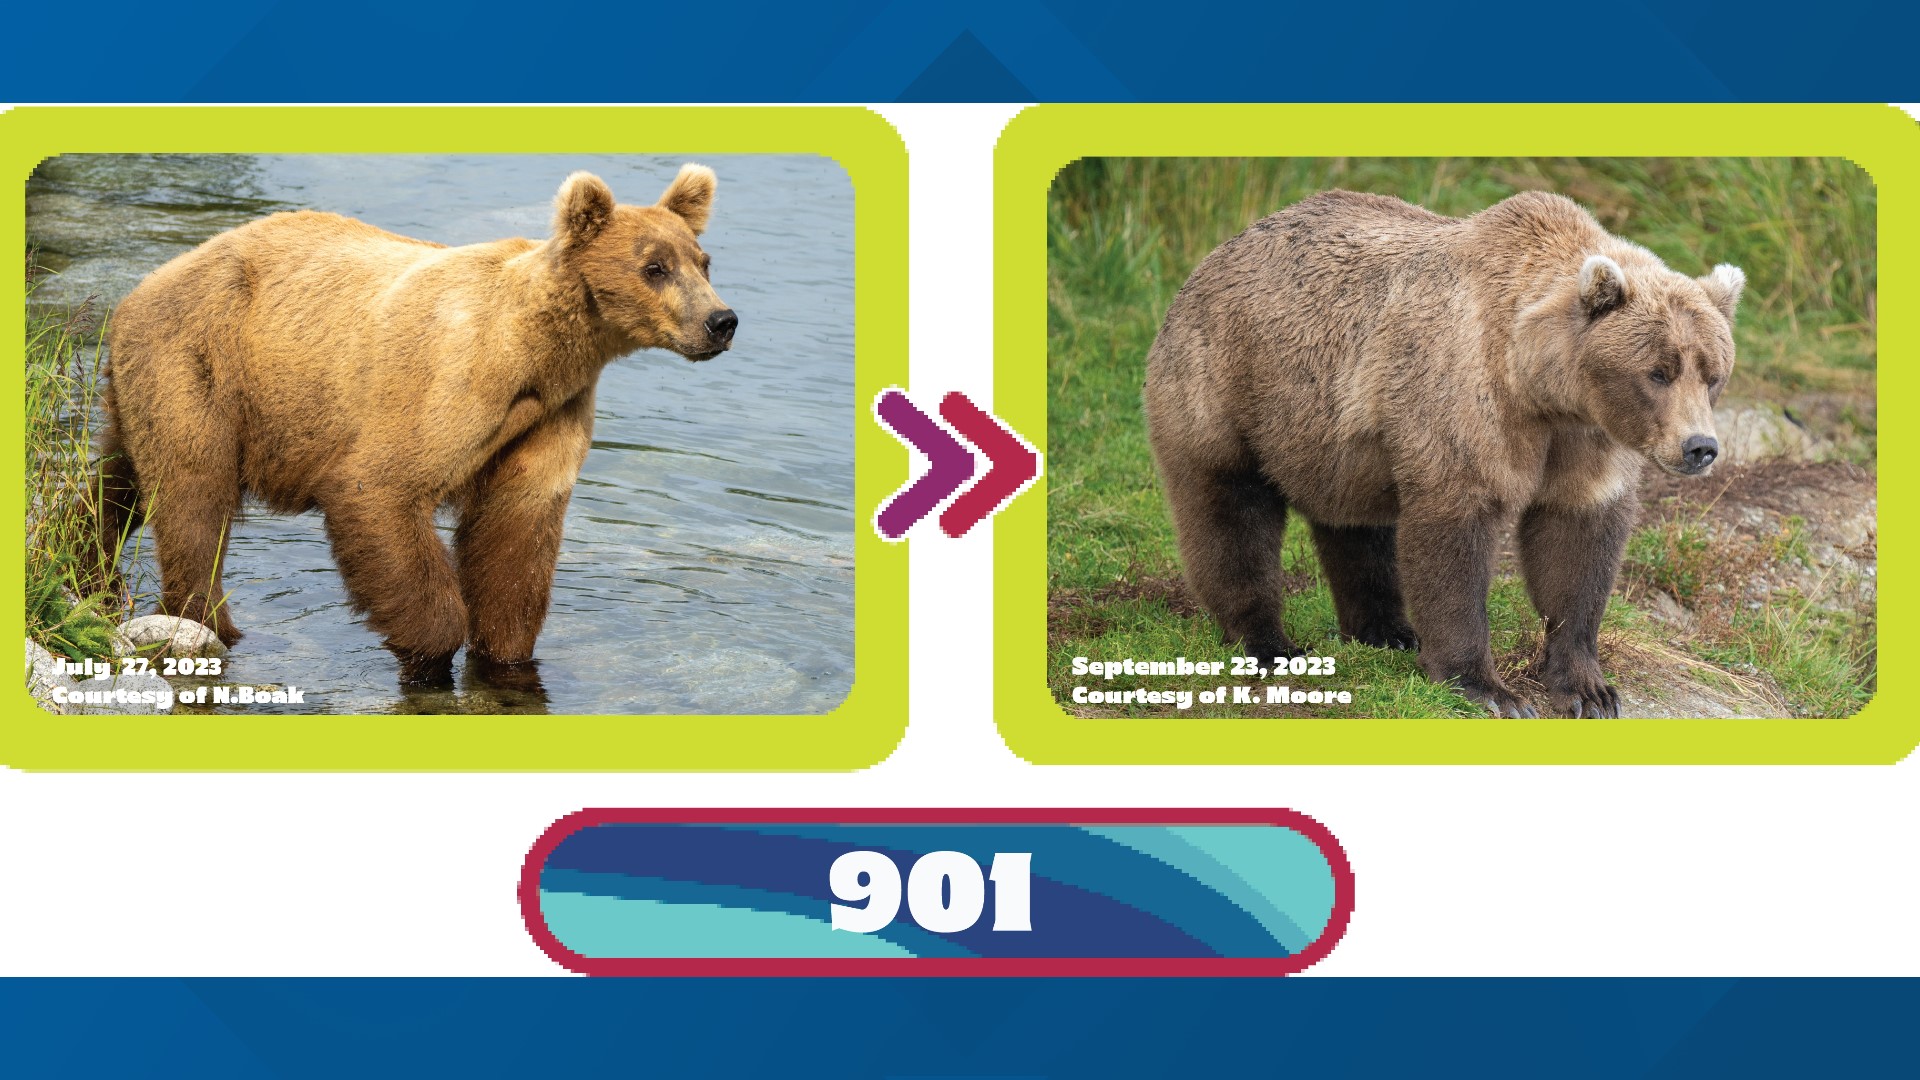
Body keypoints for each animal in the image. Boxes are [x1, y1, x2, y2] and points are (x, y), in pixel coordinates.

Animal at [93, 165, 737, 683]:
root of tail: (143, 285)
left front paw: (505, 654)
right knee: (194, 497)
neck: (537, 353)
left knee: (118, 483)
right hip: (201, 365)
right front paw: (430, 651)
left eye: (703, 262)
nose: (721, 320)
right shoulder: (450, 383)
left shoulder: (551, 413)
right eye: (654, 267)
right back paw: (211, 624)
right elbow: (378, 489)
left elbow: (517, 536)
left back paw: (93, 563)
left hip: (145, 388)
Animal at [1144, 190, 1744, 718]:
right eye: (1659, 372)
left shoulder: (1586, 442)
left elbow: (1577, 543)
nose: (1700, 447)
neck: (1545, 389)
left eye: (1712, 373)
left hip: (1335, 436)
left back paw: (1387, 630)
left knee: (1357, 523)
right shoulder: (1468, 396)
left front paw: (1588, 689)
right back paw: (1270, 642)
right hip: (1228, 384)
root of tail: (1214, 255)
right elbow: (1454, 537)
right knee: (1230, 509)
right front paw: (1489, 689)